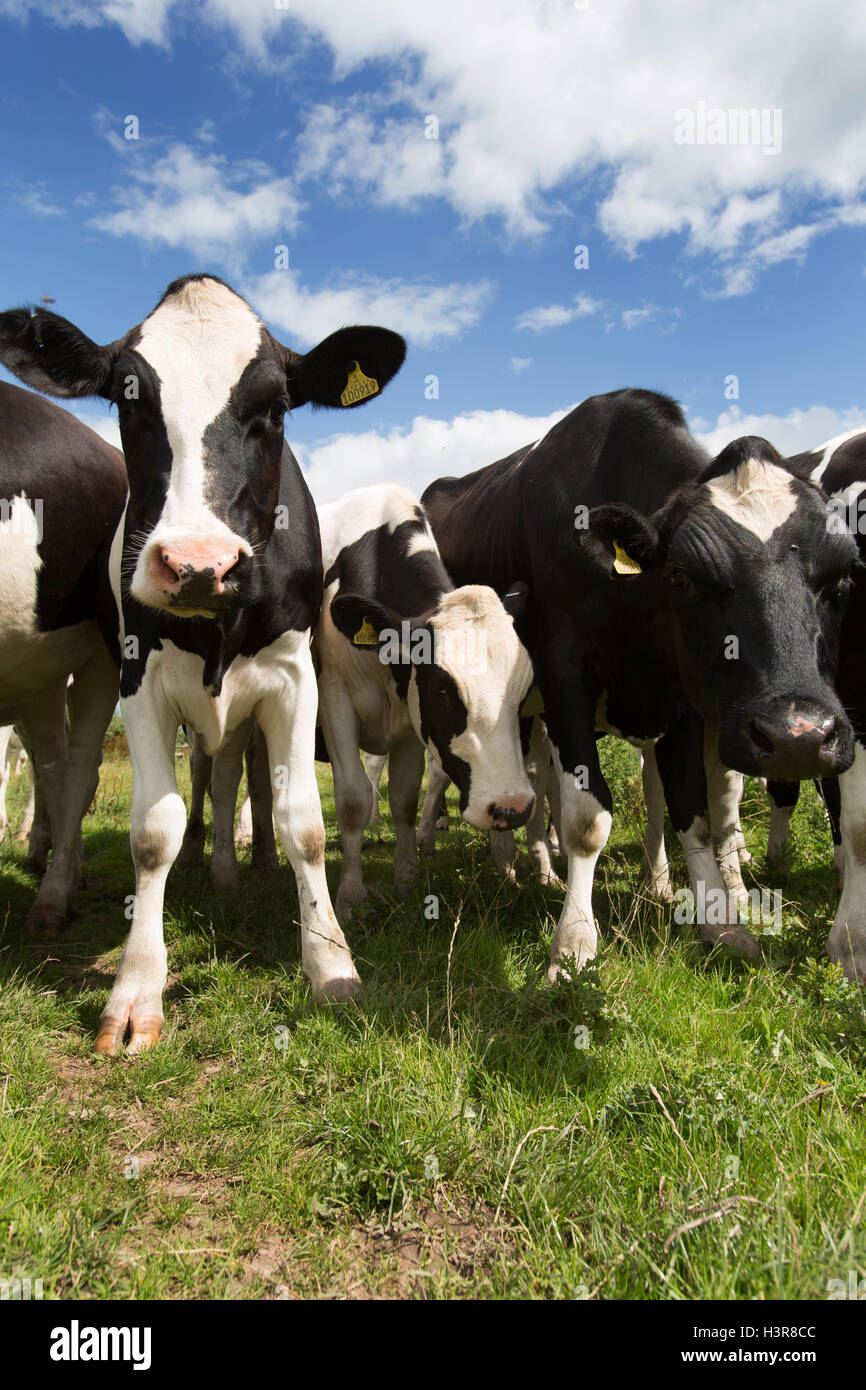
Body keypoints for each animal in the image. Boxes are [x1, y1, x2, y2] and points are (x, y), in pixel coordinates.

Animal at [0, 273, 405, 1053]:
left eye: (275, 407)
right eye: (129, 400)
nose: (197, 564)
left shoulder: (294, 677)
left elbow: (304, 822)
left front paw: (331, 965)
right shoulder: (138, 679)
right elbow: (154, 830)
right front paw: (135, 990)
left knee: (227, 779)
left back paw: (241, 866)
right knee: (123, 775)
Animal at [316, 484, 536, 922]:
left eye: (523, 688)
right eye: (442, 688)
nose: (512, 808)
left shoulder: (410, 721)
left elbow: (403, 798)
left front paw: (406, 880)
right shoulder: (336, 701)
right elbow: (352, 798)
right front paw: (350, 896)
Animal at [421, 390, 857, 982]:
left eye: (842, 581)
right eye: (681, 578)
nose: (799, 737)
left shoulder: (684, 696)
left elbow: (692, 810)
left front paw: (721, 924)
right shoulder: (564, 676)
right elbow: (586, 817)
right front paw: (573, 944)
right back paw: (512, 863)